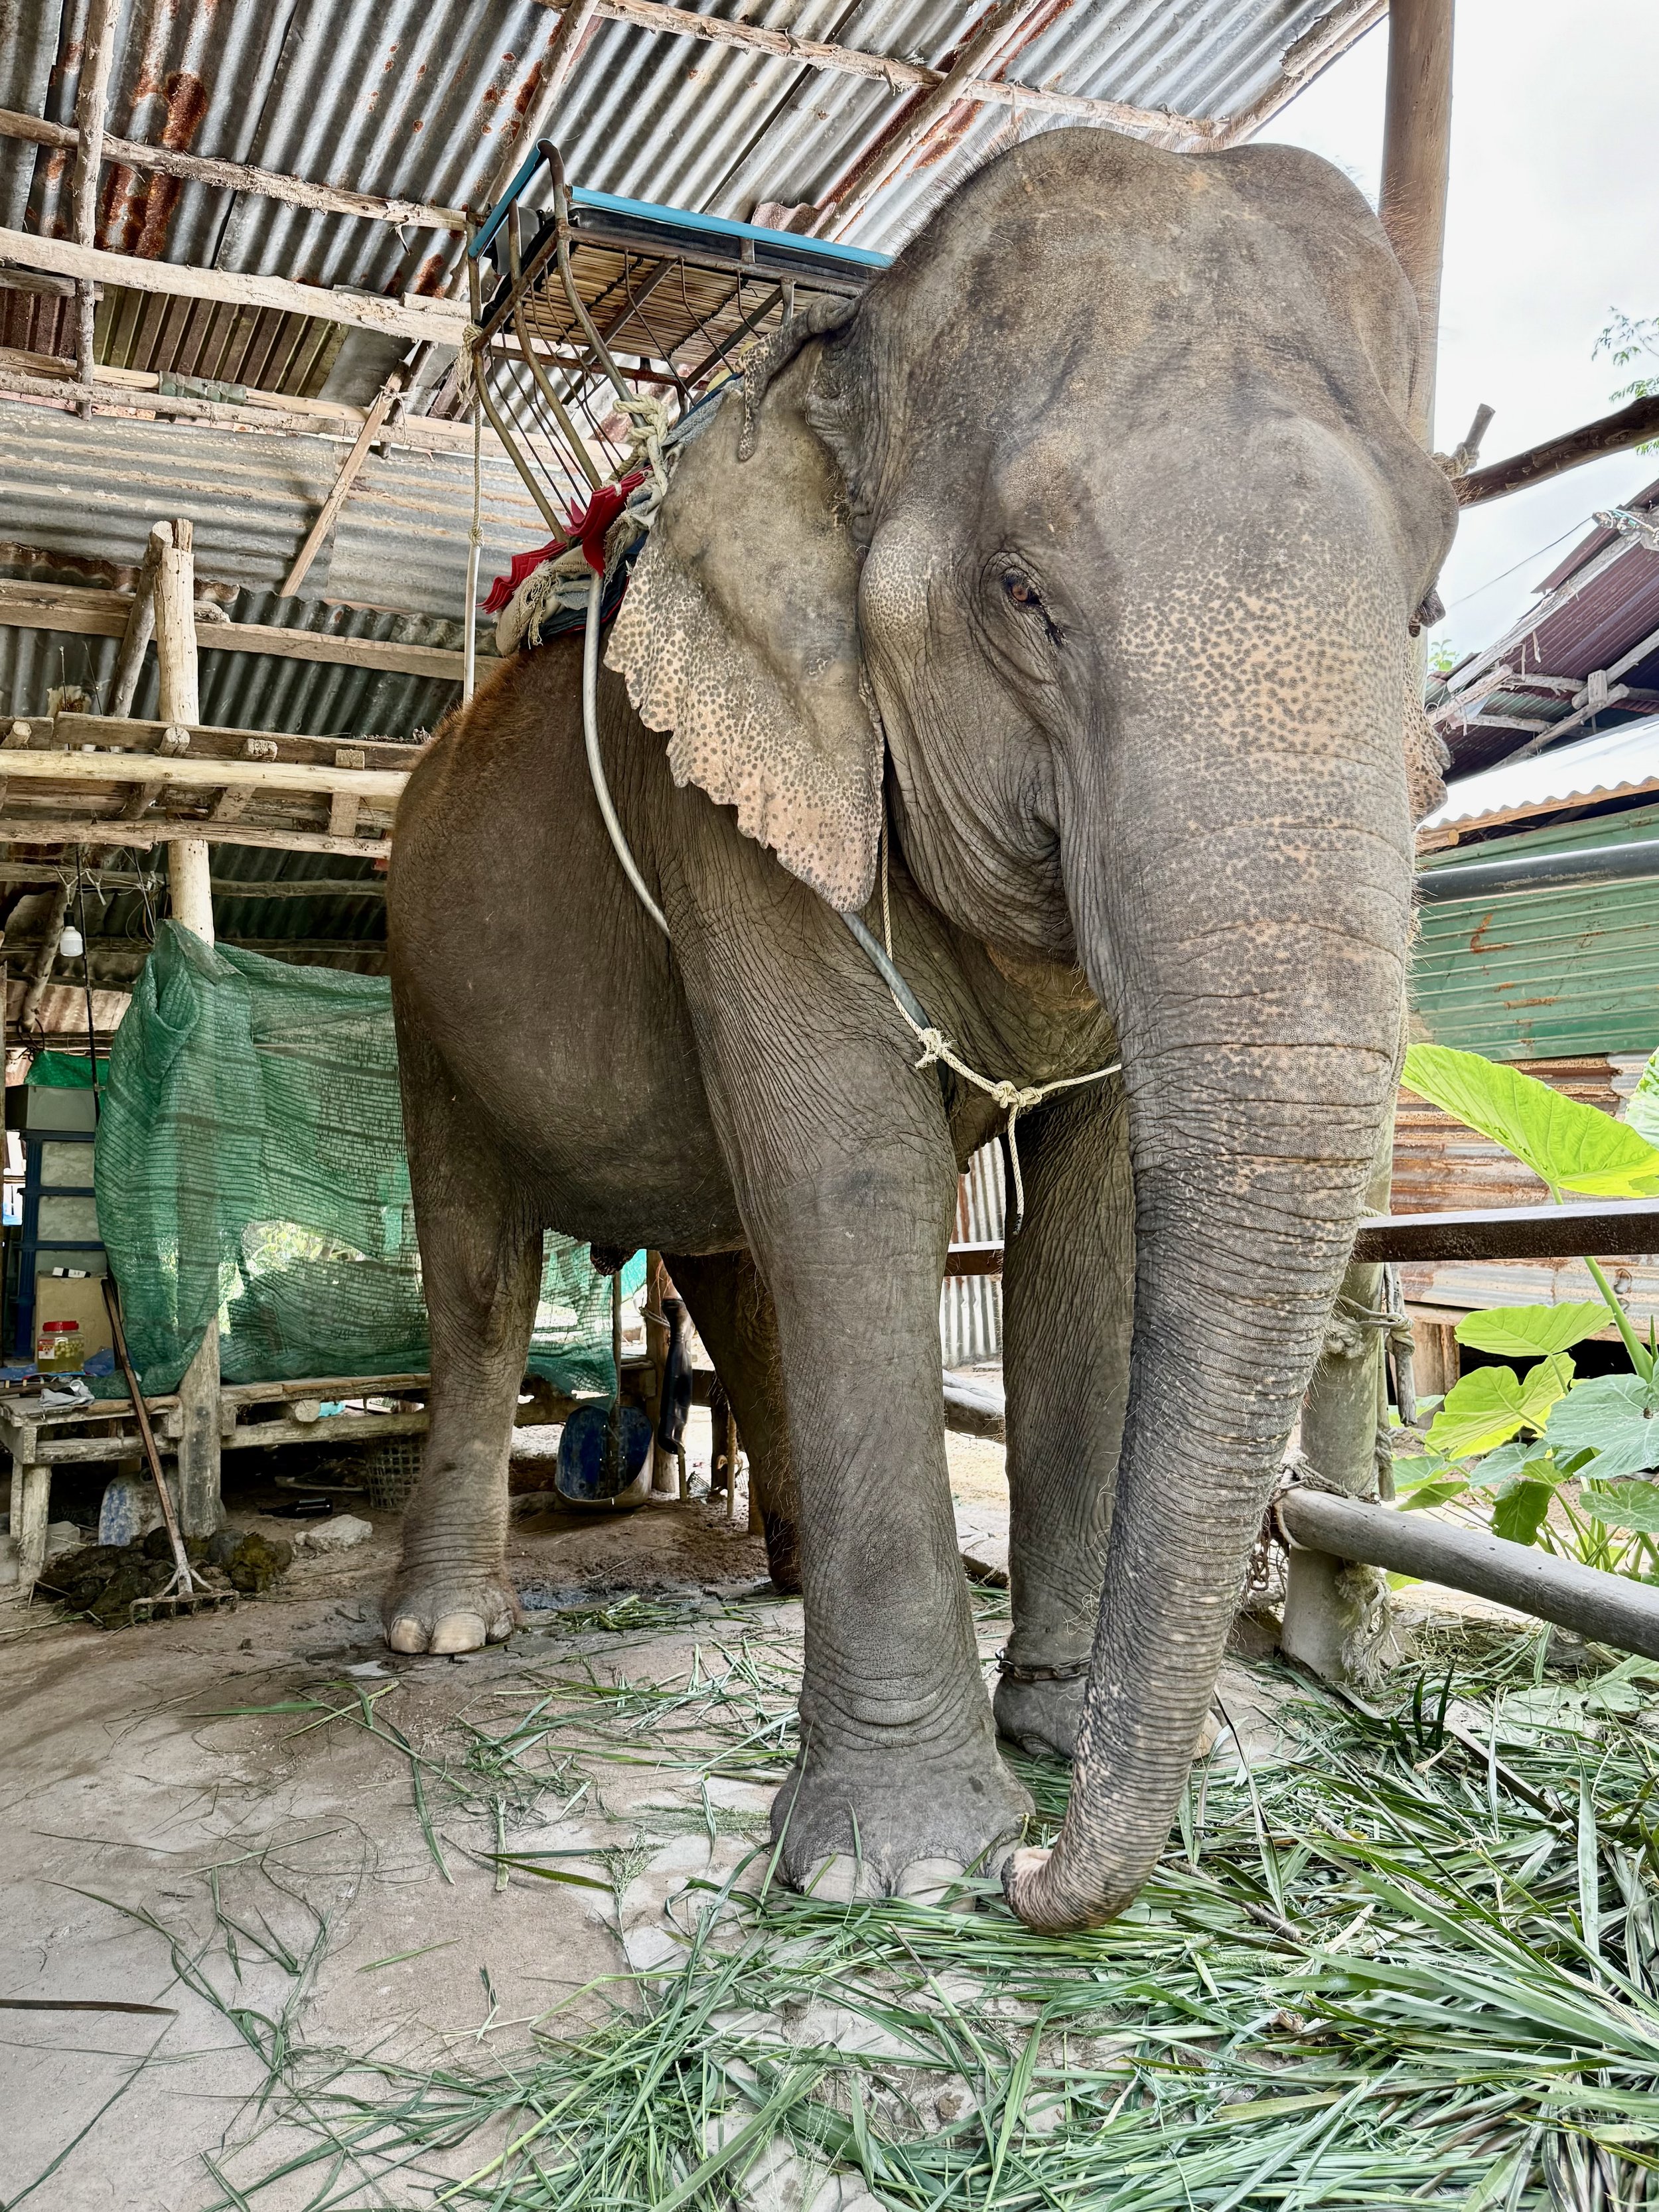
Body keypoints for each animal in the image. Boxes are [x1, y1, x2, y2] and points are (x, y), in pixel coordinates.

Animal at [385, 122, 1455, 1933]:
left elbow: (1080, 1230)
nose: (1042, 1866)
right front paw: (898, 1863)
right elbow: (855, 1180)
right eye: (1021, 593)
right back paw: (446, 1634)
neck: (834, 371)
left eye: (1427, 607)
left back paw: (778, 1581)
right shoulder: (725, 803)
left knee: (735, 1267)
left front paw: (1057, 1736)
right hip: (414, 975)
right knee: (480, 1269)